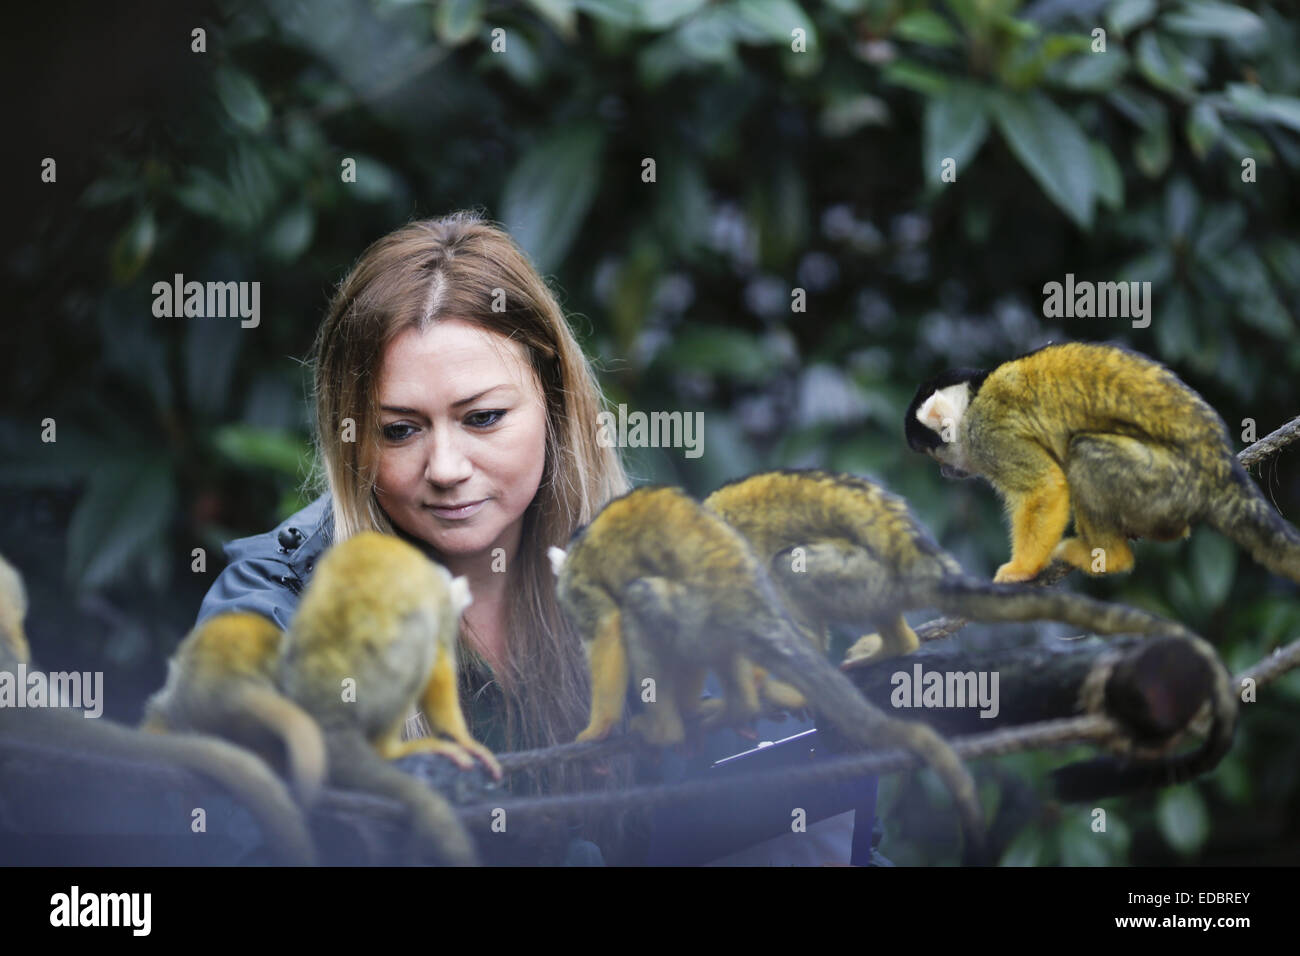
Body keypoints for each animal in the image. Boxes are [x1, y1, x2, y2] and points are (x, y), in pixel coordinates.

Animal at [279, 531, 501, 866]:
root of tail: (327, 714)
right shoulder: (440, 603)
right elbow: (438, 666)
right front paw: (464, 740)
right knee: (419, 634)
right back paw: (391, 750)